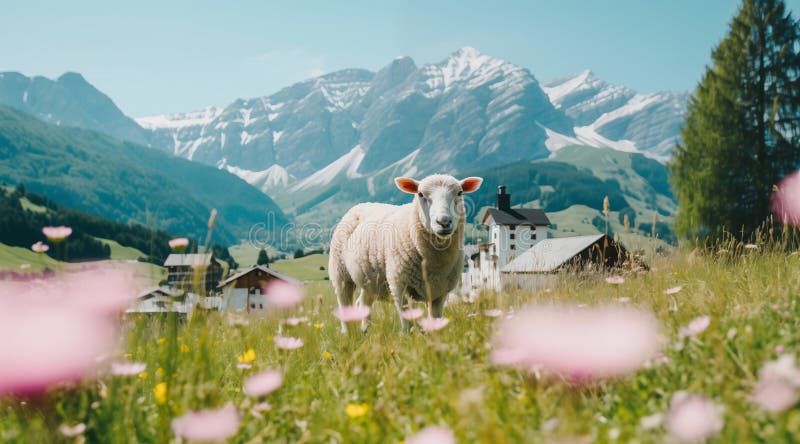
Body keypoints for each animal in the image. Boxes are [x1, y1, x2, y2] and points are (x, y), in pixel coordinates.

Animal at [328, 174, 483, 332]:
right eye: (420, 194)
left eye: (459, 193)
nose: (444, 222)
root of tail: (360, 205)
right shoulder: (399, 285)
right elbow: (407, 323)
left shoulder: (440, 292)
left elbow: (435, 321)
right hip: (340, 274)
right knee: (344, 304)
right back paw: (348, 333)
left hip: (370, 281)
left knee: (363, 302)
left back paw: (365, 330)